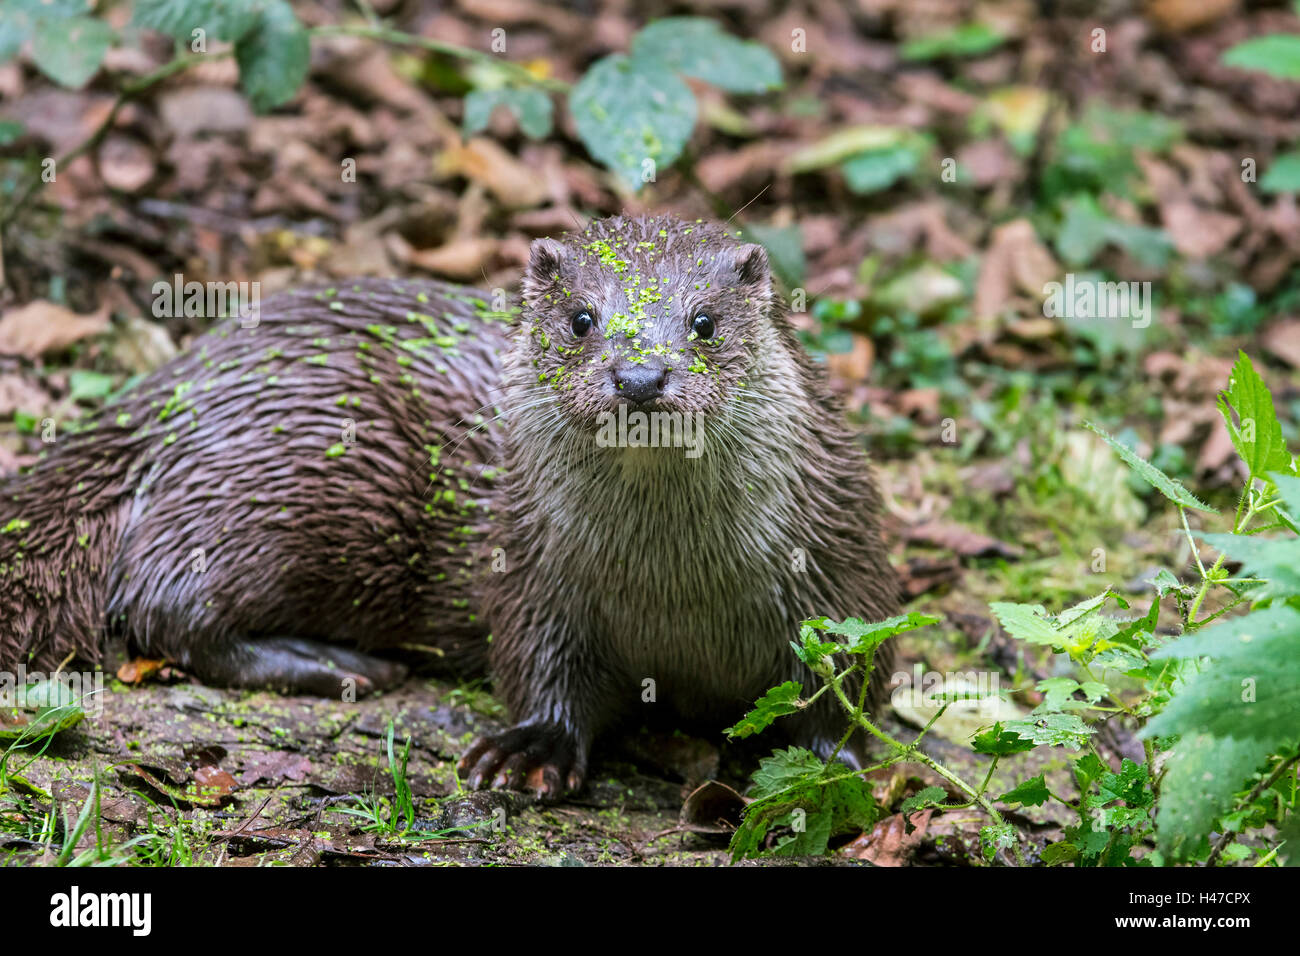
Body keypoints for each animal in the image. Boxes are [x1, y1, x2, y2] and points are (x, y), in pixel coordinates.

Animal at [1, 215, 898, 798]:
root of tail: (162, 399)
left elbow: (853, 682)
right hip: (292, 476)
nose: (640, 377)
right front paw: (529, 750)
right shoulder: (534, 571)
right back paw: (337, 665)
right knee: (166, 604)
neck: (675, 592)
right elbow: (536, 666)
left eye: (704, 323)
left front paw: (837, 770)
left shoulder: (842, 562)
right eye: (582, 319)